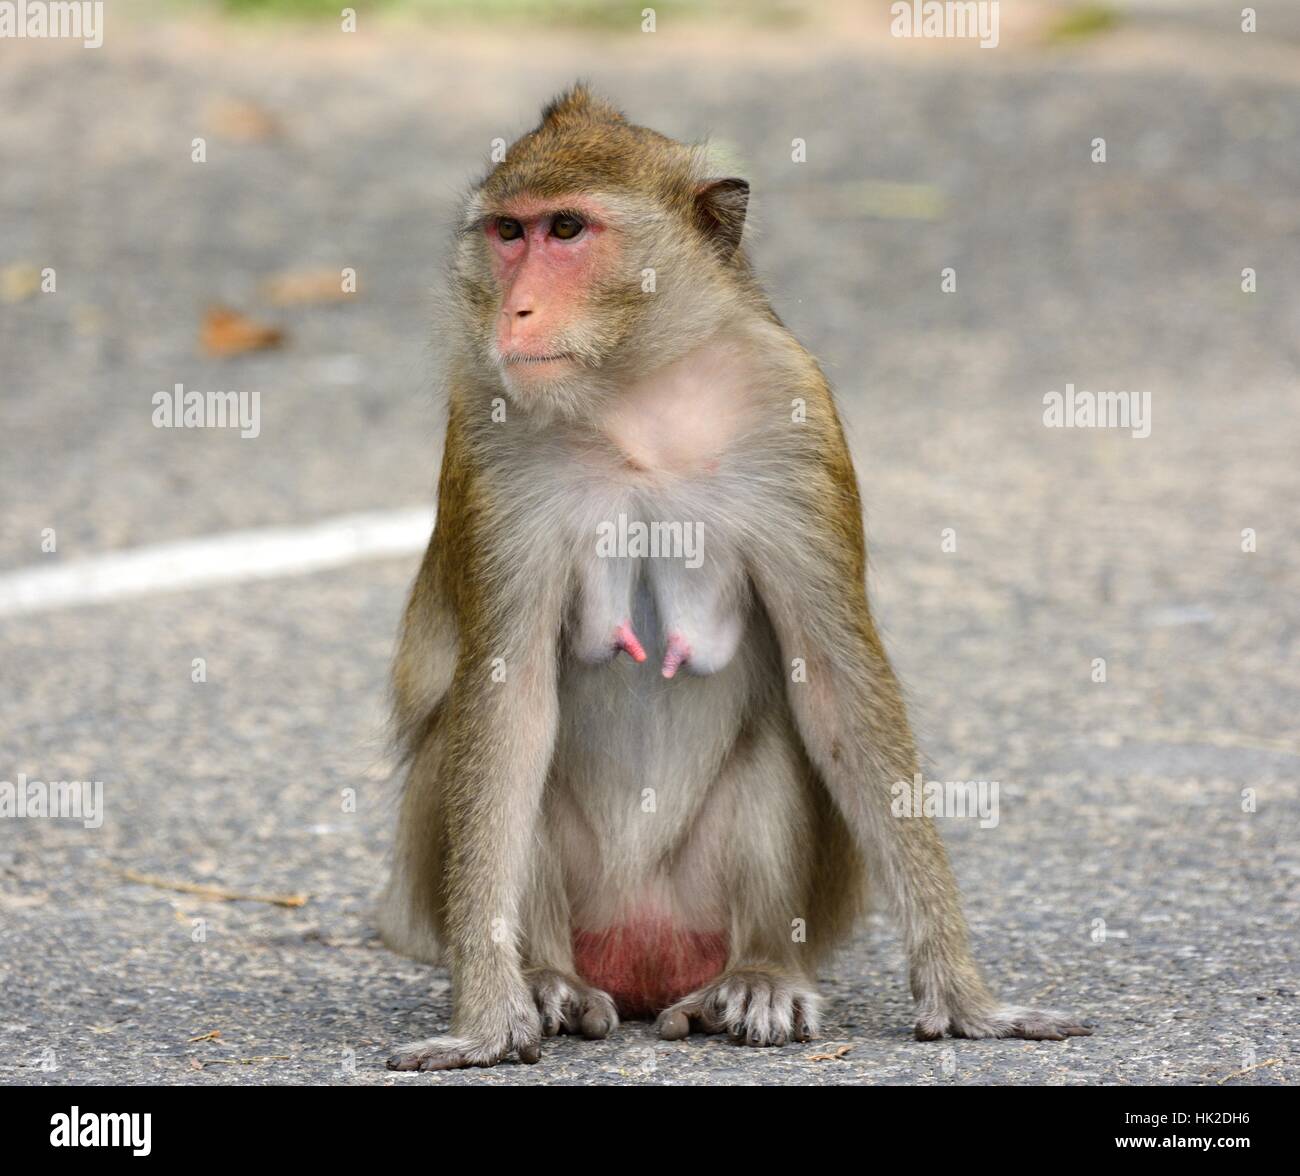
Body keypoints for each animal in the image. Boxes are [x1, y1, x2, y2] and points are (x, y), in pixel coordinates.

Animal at [379, 84, 1090, 1070]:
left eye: (567, 229)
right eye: (507, 233)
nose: (512, 313)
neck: (636, 393)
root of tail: (647, 967)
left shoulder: (795, 418)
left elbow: (838, 688)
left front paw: (965, 998)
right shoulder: (489, 436)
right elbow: (506, 705)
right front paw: (487, 1020)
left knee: (782, 745)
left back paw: (758, 976)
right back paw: (550, 978)